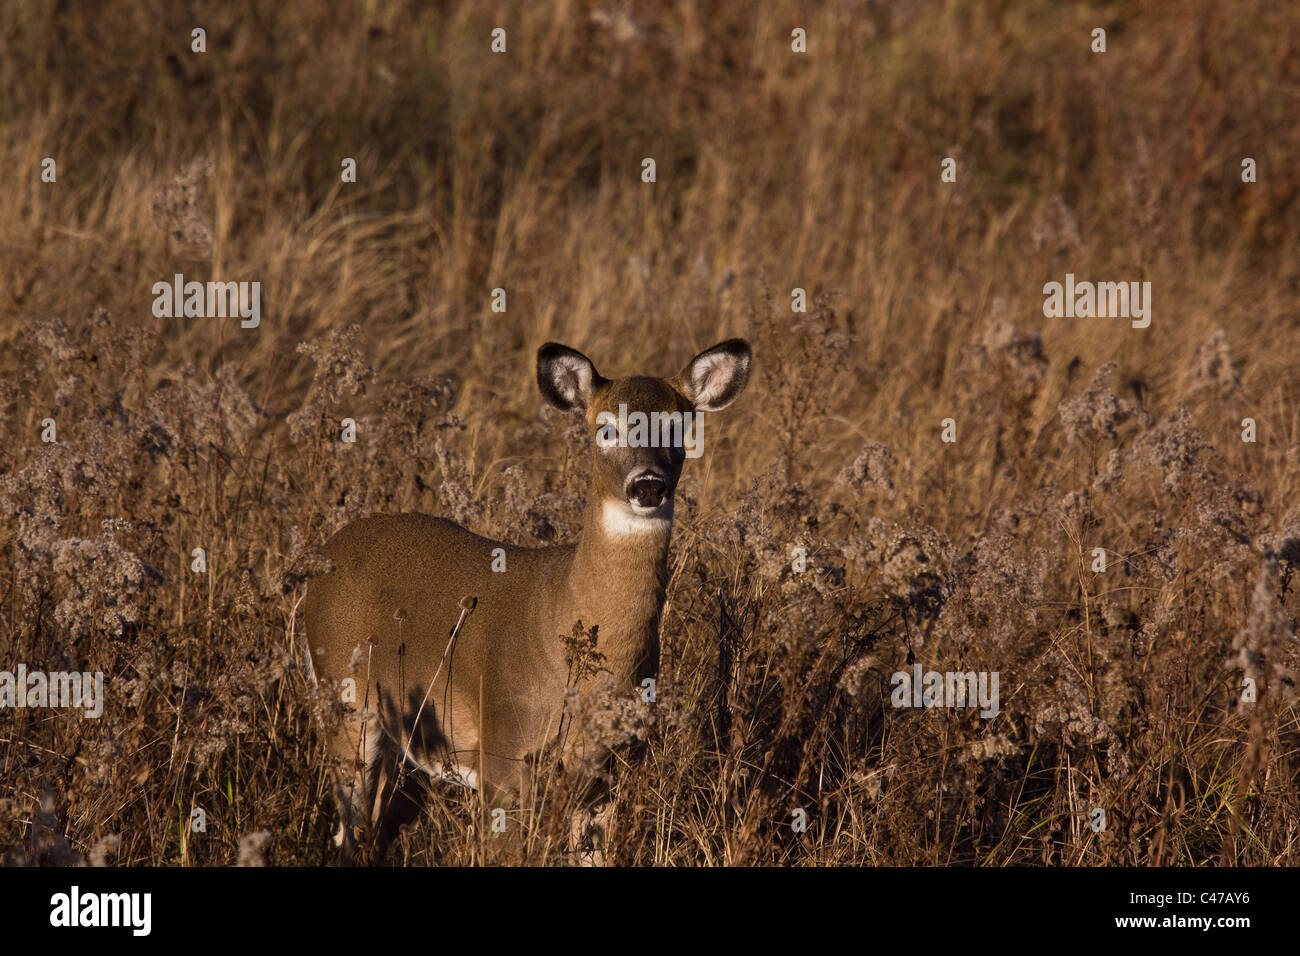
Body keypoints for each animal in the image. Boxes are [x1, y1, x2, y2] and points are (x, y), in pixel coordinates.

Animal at [304, 337, 752, 863]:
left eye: (679, 426)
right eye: (605, 427)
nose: (647, 485)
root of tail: (325, 554)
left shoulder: (609, 776)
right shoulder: (501, 759)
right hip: (345, 700)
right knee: (347, 826)